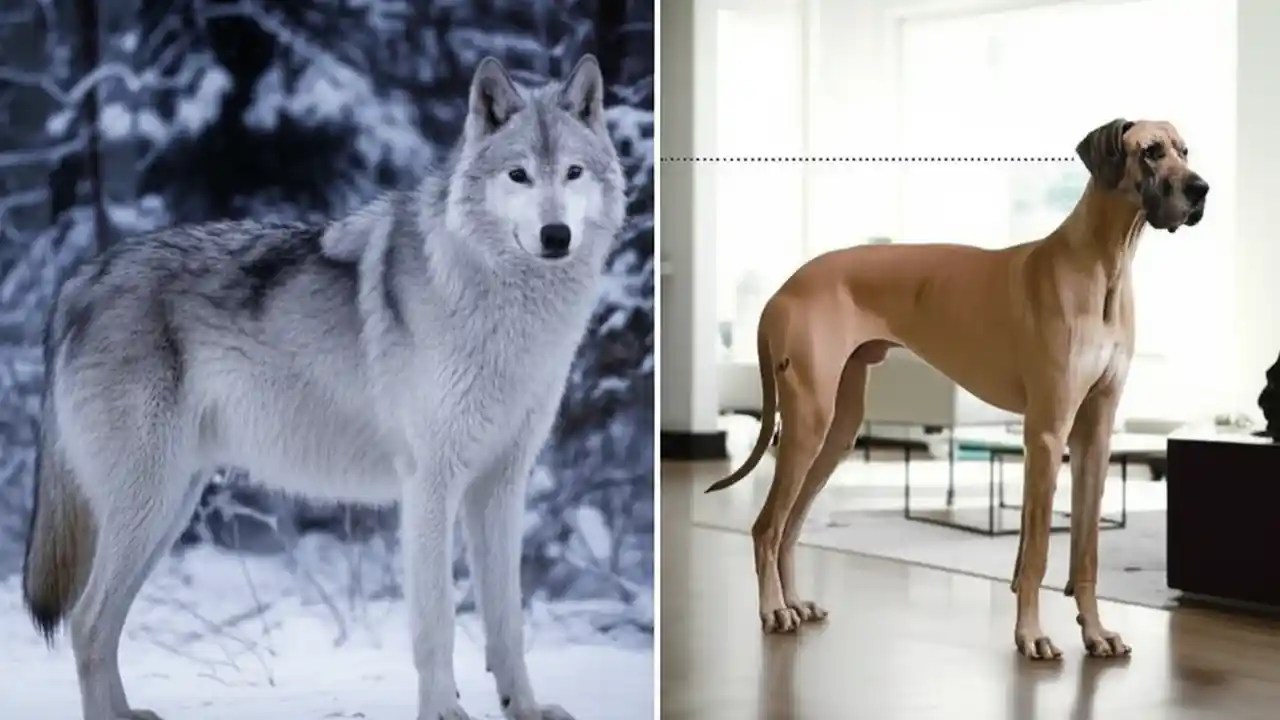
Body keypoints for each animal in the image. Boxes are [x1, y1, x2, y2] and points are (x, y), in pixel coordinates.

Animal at [21, 54, 626, 720]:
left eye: (572, 173)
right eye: (518, 175)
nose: (556, 235)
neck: (504, 309)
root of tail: (78, 280)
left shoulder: (500, 485)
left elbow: (507, 621)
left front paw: (525, 709)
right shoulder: (430, 484)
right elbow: (437, 623)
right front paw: (443, 711)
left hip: (169, 509)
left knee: (100, 626)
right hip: (149, 503)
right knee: (85, 621)